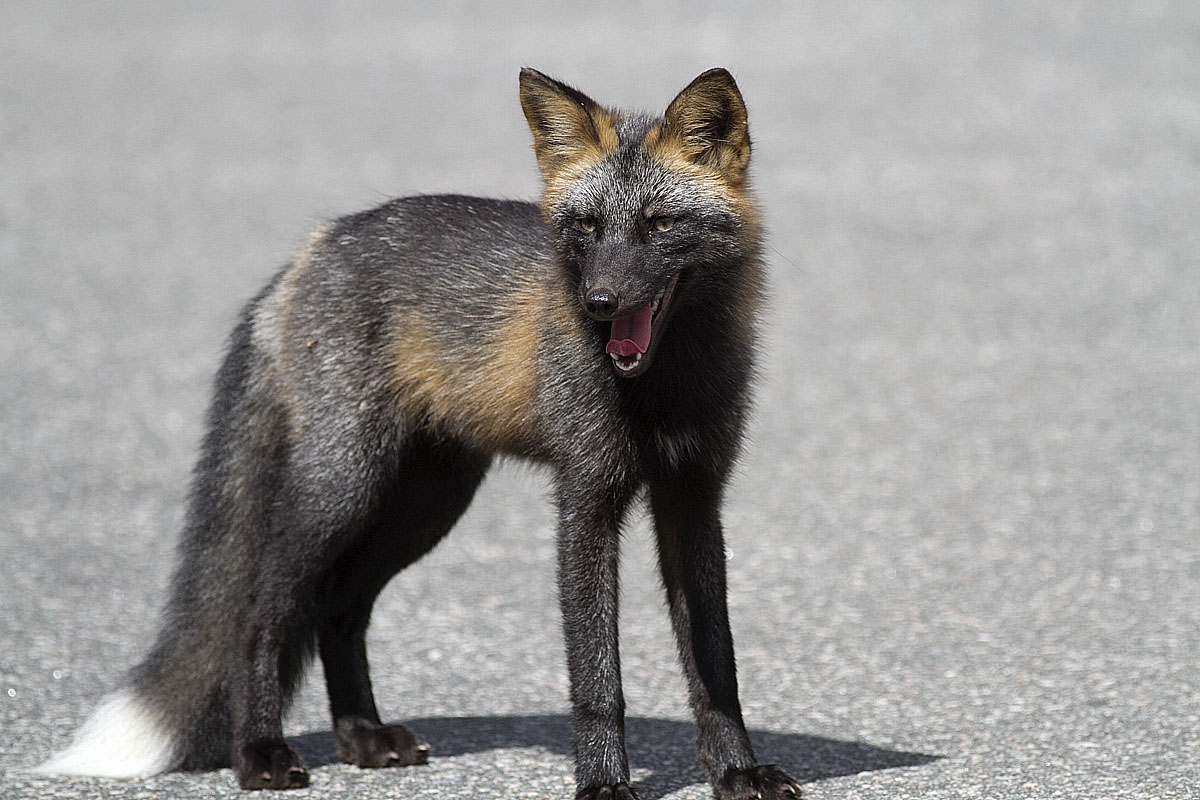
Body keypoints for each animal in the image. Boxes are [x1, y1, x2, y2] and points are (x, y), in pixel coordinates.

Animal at [35, 68, 801, 800]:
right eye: (586, 227)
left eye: (660, 223)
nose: (600, 302)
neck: (662, 390)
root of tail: (315, 245)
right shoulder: (585, 500)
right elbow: (595, 676)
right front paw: (604, 782)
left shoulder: (694, 499)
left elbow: (717, 666)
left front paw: (737, 774)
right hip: (341, 490)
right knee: (260, 612)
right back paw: (260, 754)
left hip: (425, 507)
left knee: (338, 608)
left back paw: (363, 737)